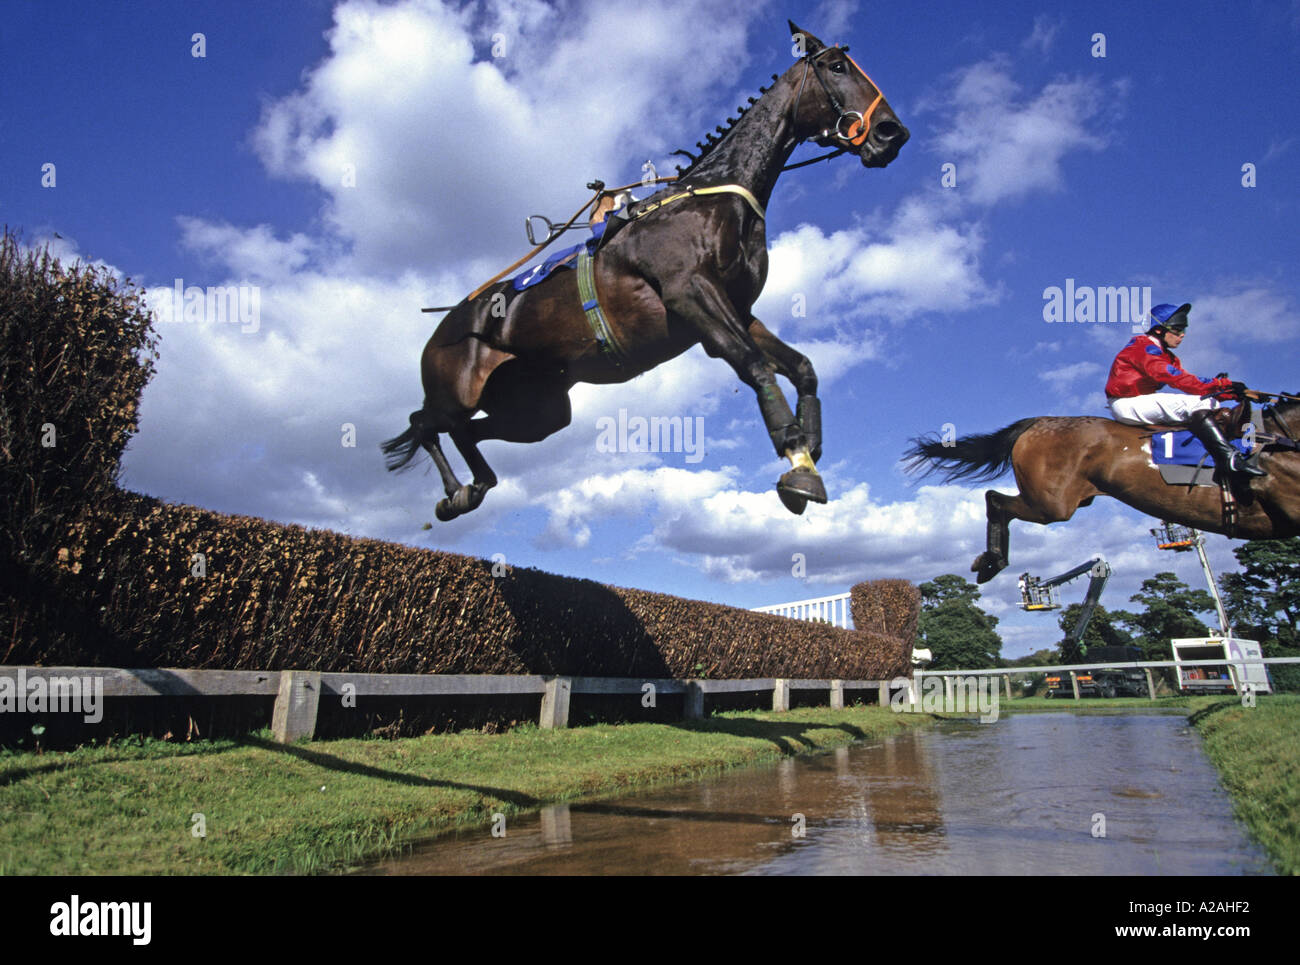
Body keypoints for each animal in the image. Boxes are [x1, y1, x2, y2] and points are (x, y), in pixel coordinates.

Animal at [382, 21, 909, 521]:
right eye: (838, 66)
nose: (891, 133)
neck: (715, 196)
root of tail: (445, 323)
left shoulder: (737, 307)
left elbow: (801, 368)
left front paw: (808, 452)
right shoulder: (690, 294)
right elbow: (756, 364)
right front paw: (797, 458)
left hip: (541, 408)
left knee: (470, 432)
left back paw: (472, 487)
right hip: (458, 391)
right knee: (426, 422)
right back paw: (455, 492)